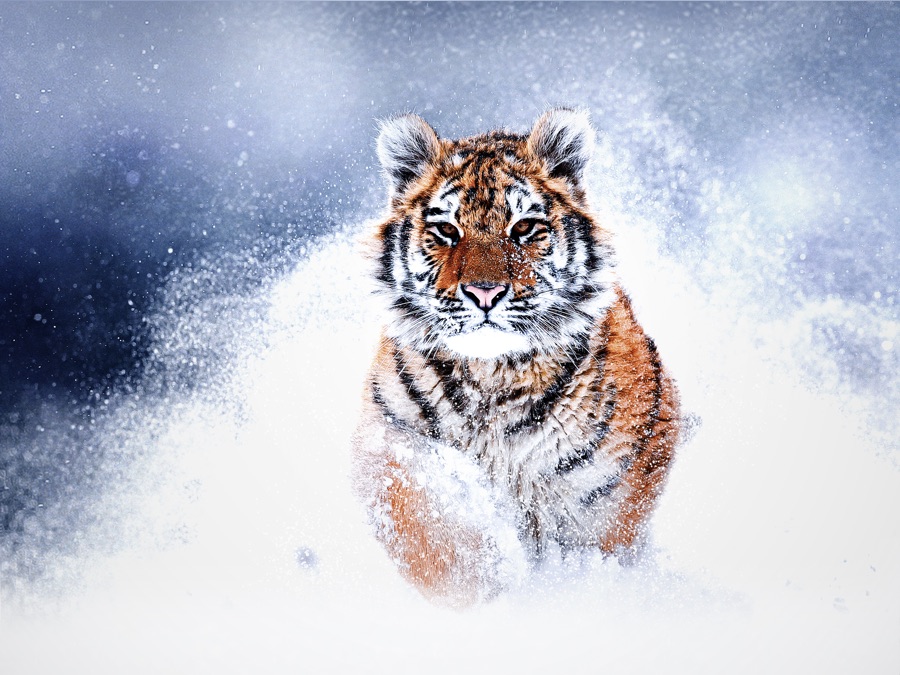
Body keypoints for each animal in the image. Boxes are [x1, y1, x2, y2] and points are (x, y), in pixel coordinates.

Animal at [352, 109, 681, 605]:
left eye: (523, 228)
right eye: (446, 230)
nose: (484, 293)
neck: (492, 376)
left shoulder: (608, 490)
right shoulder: (389, 441)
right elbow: (427, 527)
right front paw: (478, 588)